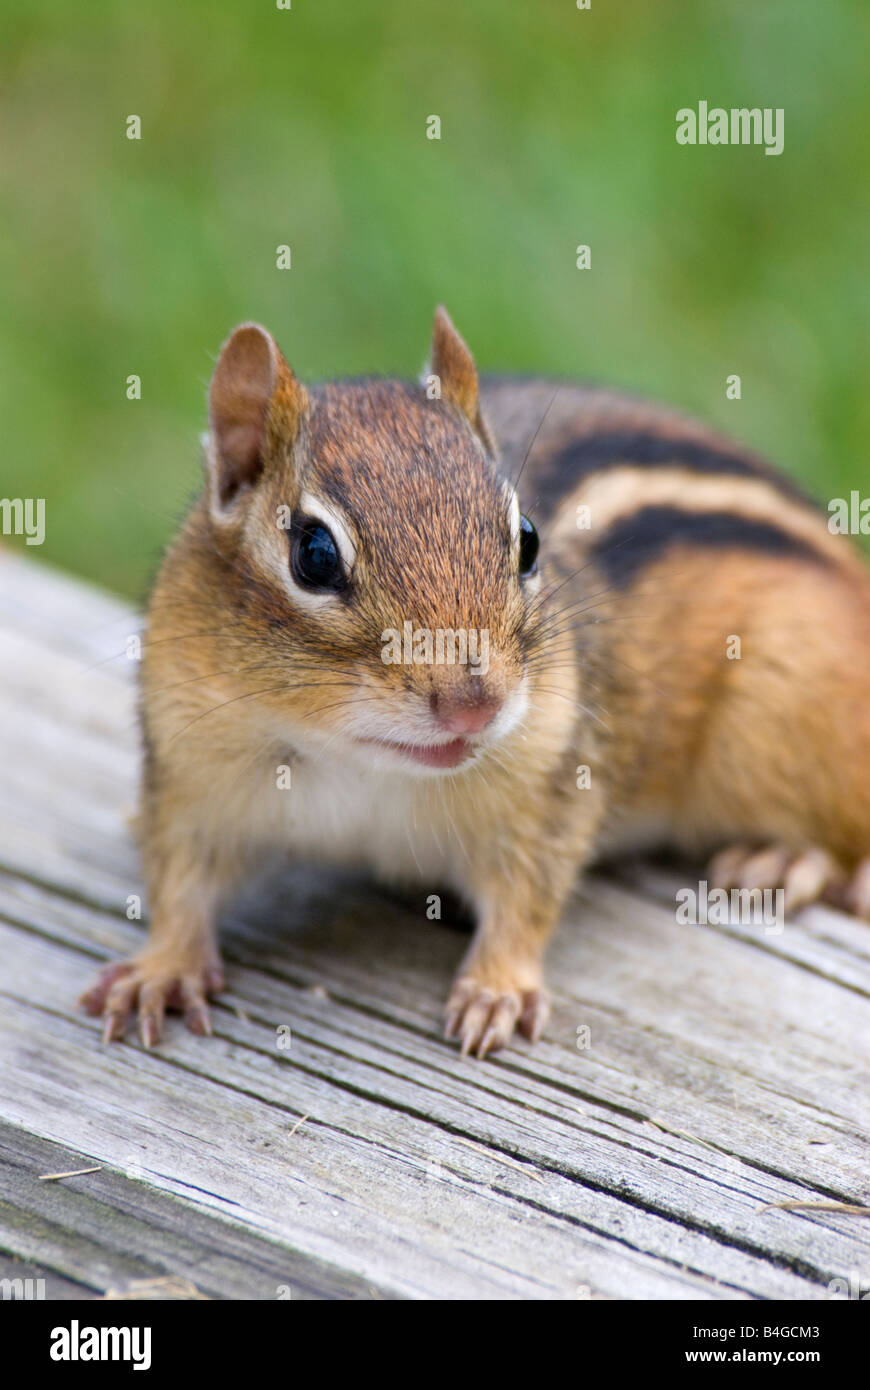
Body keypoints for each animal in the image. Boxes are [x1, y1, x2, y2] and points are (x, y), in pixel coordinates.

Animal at [80, 307, 870, 1058]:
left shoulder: (551, 780)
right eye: (313, 554)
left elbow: (528, 897)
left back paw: (786, 859)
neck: (360, 764)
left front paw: (497, 990)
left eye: (527, 539)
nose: (473, 705)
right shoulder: (190, 771)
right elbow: (179, 882)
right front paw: (161, 969)